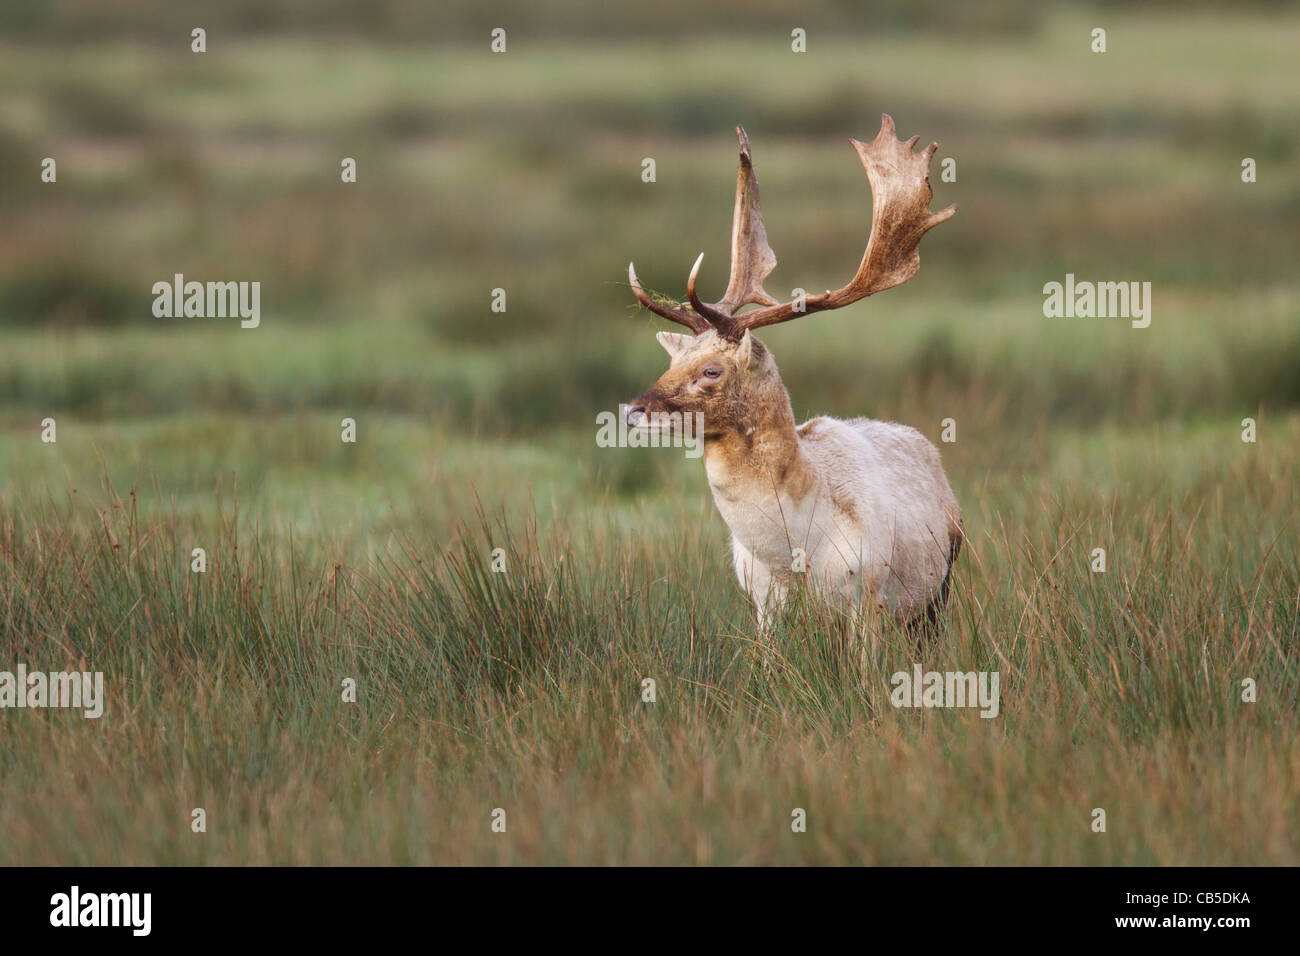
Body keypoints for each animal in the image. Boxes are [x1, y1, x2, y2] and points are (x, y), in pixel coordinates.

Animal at [624, 115, 963, 640]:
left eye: (711, 370)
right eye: (670, 363)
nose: (633, 410)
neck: (794, 556)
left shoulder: (869, 597)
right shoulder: (761, 604)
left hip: (936, 595)